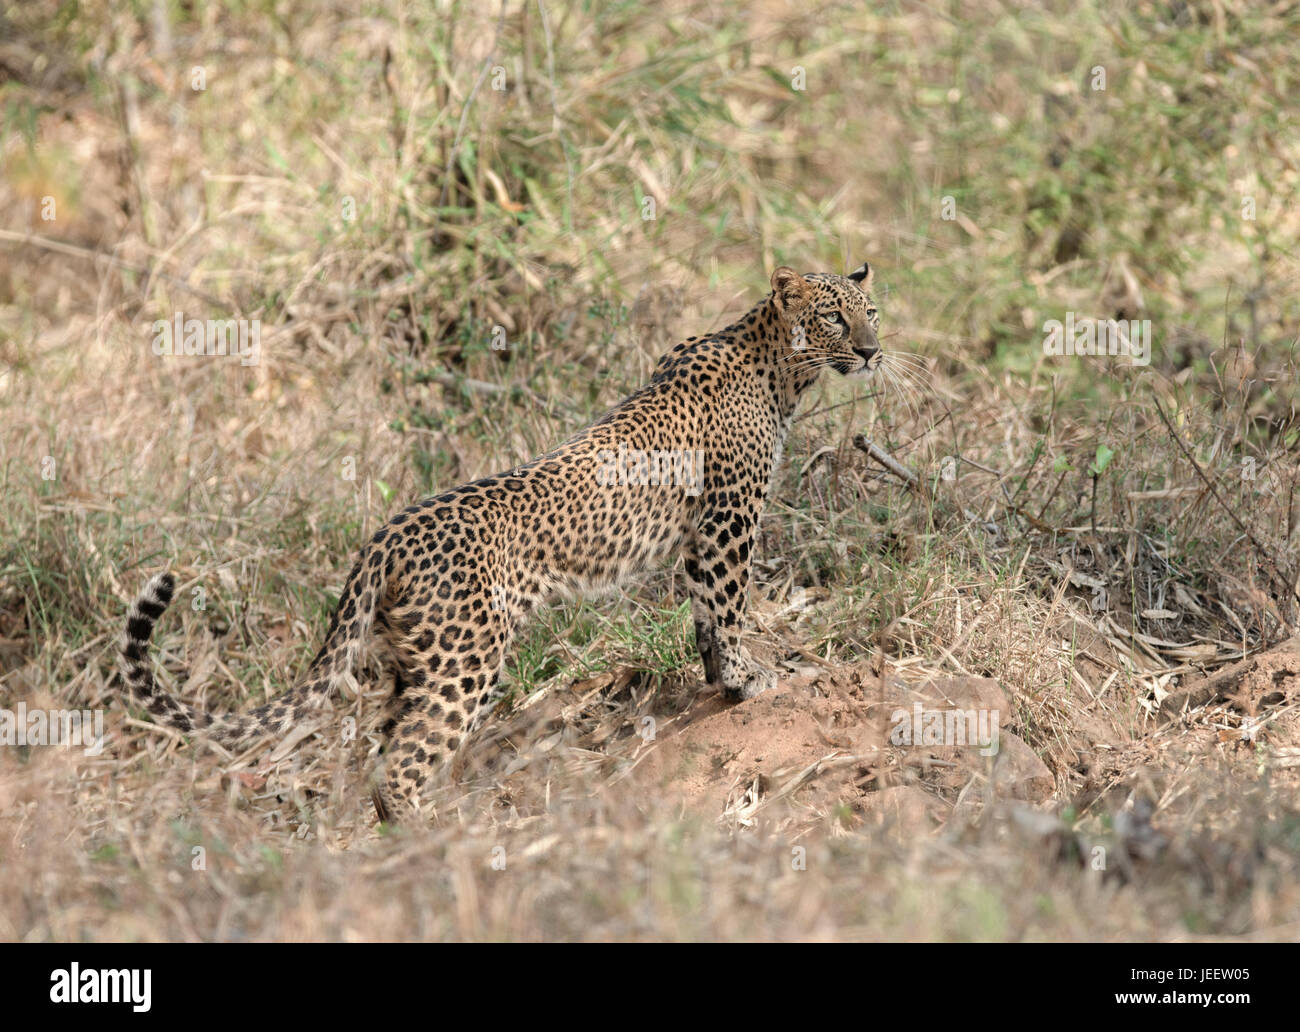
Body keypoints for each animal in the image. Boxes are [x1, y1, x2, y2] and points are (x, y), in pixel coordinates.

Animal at [119, 262, 883, 822]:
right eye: (832, 317)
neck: (781, 368)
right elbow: (725, 605)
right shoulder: (728, 516)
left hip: (416, 663)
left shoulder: (705, 529)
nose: (873, 352)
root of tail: (382, 539)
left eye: (870, 312)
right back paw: (437, 841)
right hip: (466, 661)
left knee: (383, 755)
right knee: (400, 769)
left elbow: (702, 614)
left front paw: (719, 677)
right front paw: (745, 677)